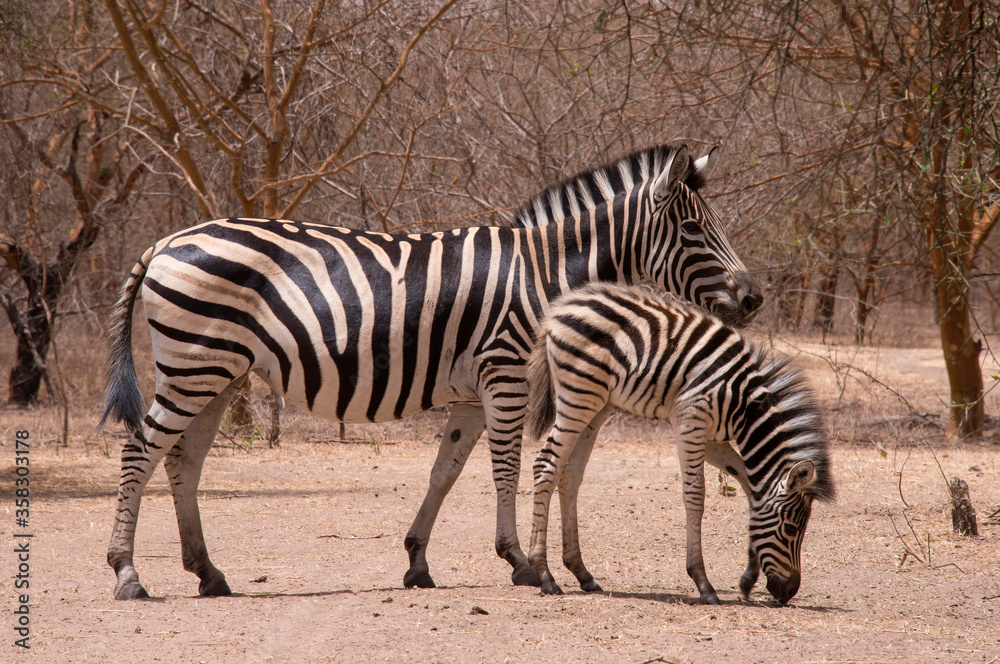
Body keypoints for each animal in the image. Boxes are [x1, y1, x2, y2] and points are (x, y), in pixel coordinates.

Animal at [99, 143, 764, 600]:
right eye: (693, 229)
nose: (754, 298)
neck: (544, 274)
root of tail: (165, 241)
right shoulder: (506, 372)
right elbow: (504, 470)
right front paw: (521, 563)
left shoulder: (471, 393)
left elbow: (445, 472)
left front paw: (417, 560)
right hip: (194, 366)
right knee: (140, 452)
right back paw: (127, 573)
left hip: (217, 372)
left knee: (182, 461)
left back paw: (208, 572)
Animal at [525, 282, 834, 605]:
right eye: (791, 528)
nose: (789, 592)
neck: (744, 406)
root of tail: (560, 310)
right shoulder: (691, 421)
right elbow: (695, 495)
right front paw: (703, 583)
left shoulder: (712, 438)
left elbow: (751, 489)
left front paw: (749, 576)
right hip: (578, 397)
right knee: (546, 466)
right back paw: (545, 575)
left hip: (597, 405)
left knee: (569, 475)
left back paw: (581, 572)